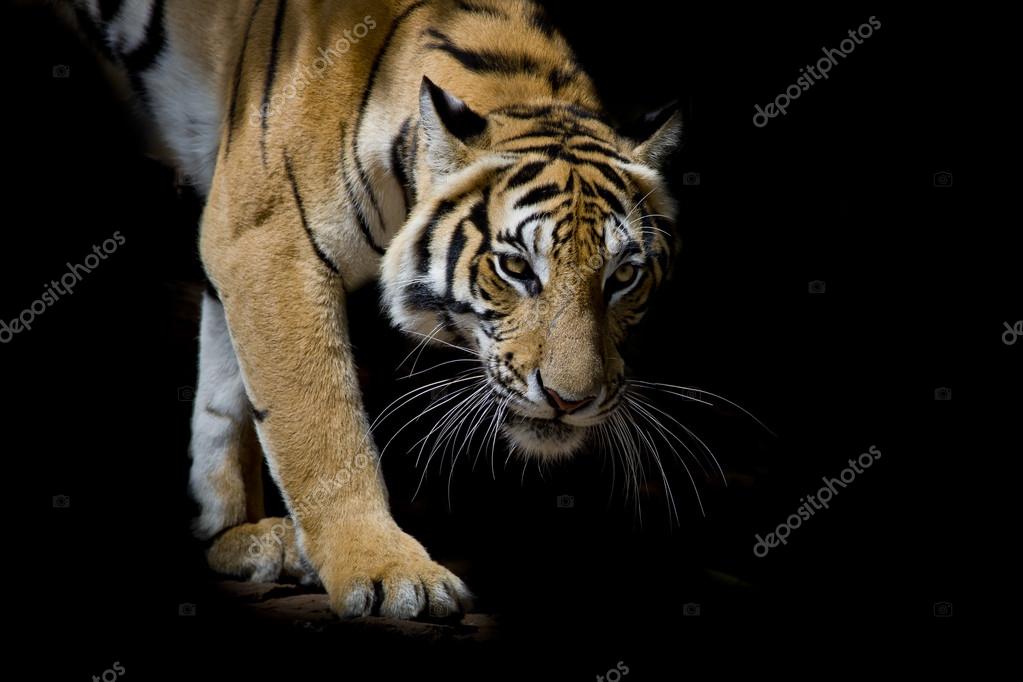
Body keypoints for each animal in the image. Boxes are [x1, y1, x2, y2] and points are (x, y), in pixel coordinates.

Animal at [61, 0, 682, 619]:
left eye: (623, 276)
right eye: (516, 268)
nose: (570, 402)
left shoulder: (236, 244)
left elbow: (223, 399)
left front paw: (232, 533)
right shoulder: (266, 239)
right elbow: (321, 431)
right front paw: (385, 569)